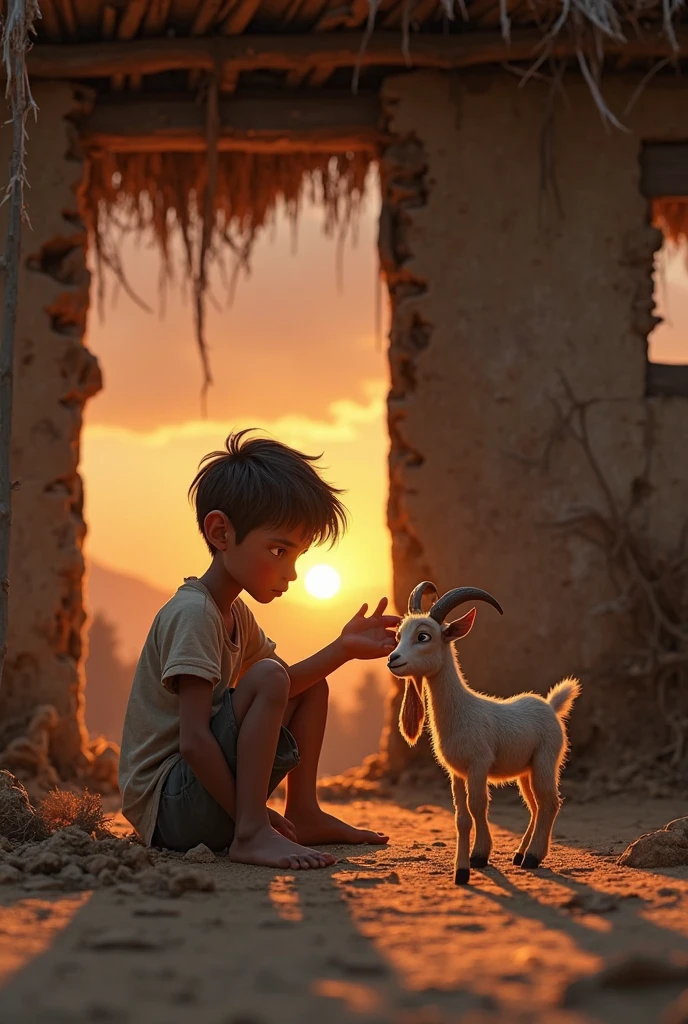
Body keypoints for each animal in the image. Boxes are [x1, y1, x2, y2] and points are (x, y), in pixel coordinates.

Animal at [387, 582, 581, 885]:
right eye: (398, 635)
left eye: (423, 636)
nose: (393, 660)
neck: (463, 710)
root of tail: (551, 706)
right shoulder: (456, 772)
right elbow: (461, 816)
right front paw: (464, 866)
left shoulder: (478, 765)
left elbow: (478, 805)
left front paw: (478, 857)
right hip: (525, 772)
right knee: (535, 806)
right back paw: (519, 854)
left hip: (545, 762)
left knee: (550, 803)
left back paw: (532, 858)